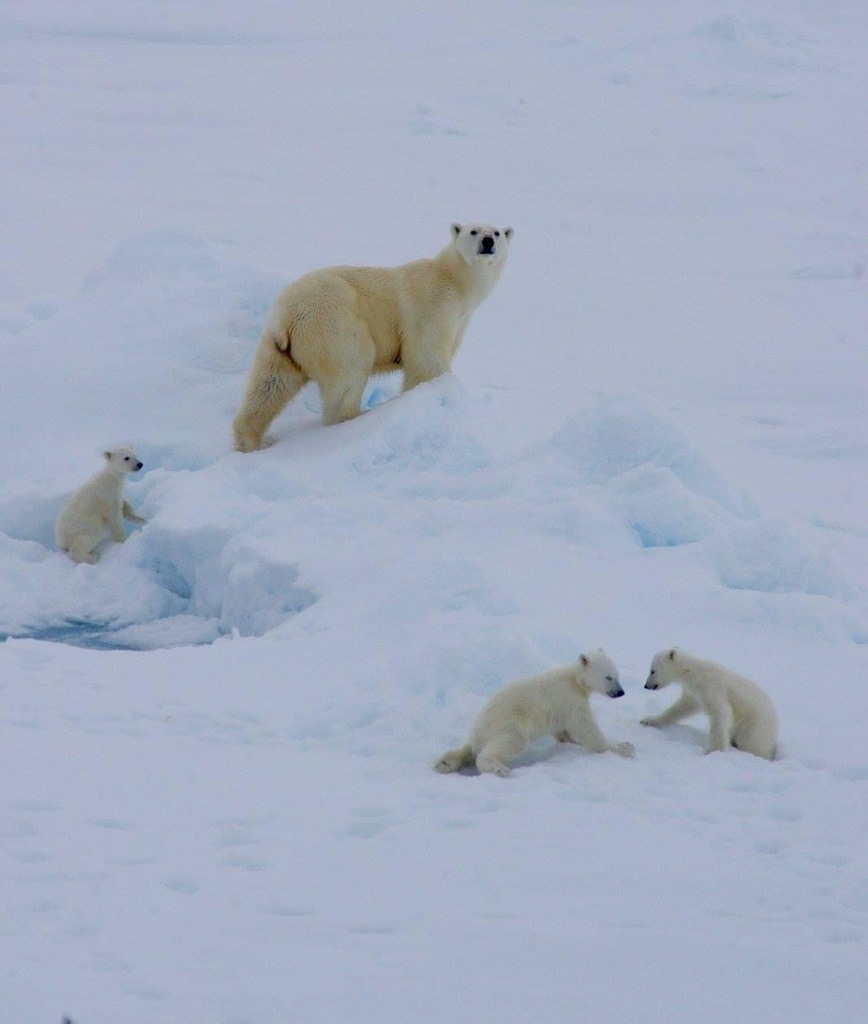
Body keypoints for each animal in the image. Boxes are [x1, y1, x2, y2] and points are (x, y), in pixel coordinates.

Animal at [232, 222, 513, 452]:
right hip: (334, 326)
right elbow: (426, 357)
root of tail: (288, 317)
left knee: (270, 385)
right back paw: (356, 416)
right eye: (473, 231)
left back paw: (253, 441)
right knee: (352, 366)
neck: (455, 281)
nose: (488, 241)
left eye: (497, 232)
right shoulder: (432, 306)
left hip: (279, 346)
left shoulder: (461, 319)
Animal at [434, 650, 636, 778]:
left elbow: (563, 731)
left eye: (618, 675)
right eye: (608, 677)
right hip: (506, 725)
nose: (621, 692)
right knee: (508, 744)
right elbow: (585, 727)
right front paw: (623, 747)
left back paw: (445, 763)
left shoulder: (561, 709)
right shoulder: (569, 699)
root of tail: (476, 734)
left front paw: (571, 742)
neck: (575, 681)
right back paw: (500, 769)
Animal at [641, 647, 778, 760]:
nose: (646, 686)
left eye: (652, 671)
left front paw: (714, 751)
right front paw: (649, 720)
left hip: (754, 724)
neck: (693, 671)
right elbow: (682, 707)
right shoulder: (694, 692)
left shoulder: (712, 687)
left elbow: (721, 712)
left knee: (751, 743)